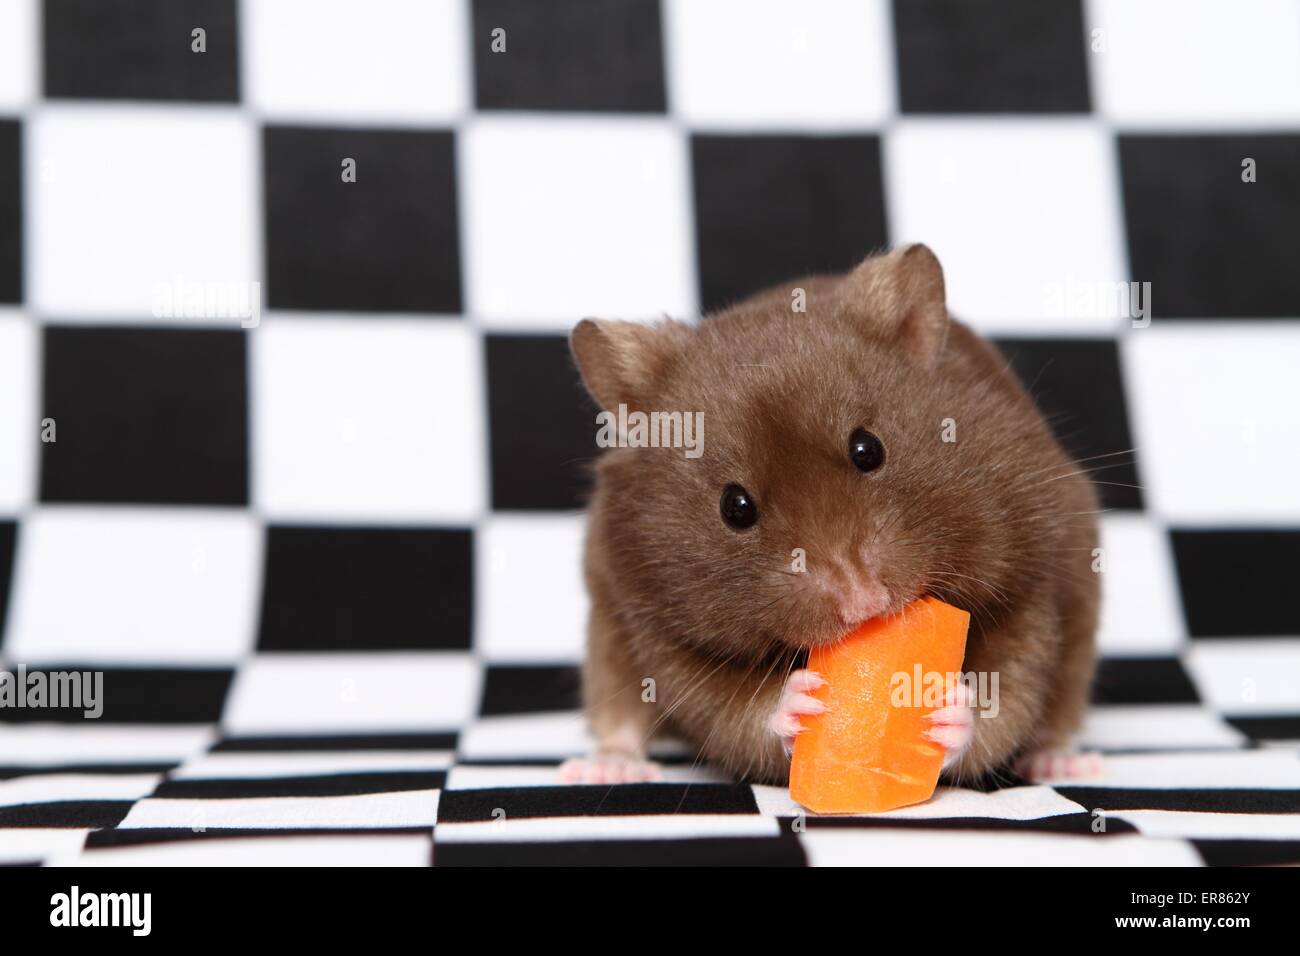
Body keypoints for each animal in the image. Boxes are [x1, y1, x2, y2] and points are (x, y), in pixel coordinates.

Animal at [562, 245, 1102, 788]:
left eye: (868, 449)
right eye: (735, 507)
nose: (864, 603)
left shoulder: (1029, 567)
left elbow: (1011, 687)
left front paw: (949, 709)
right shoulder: (657, 621)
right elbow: (727, 709)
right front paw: (799, 702)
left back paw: (1065, 762)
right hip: (606, 622)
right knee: (619, 710)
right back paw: (602, 769)